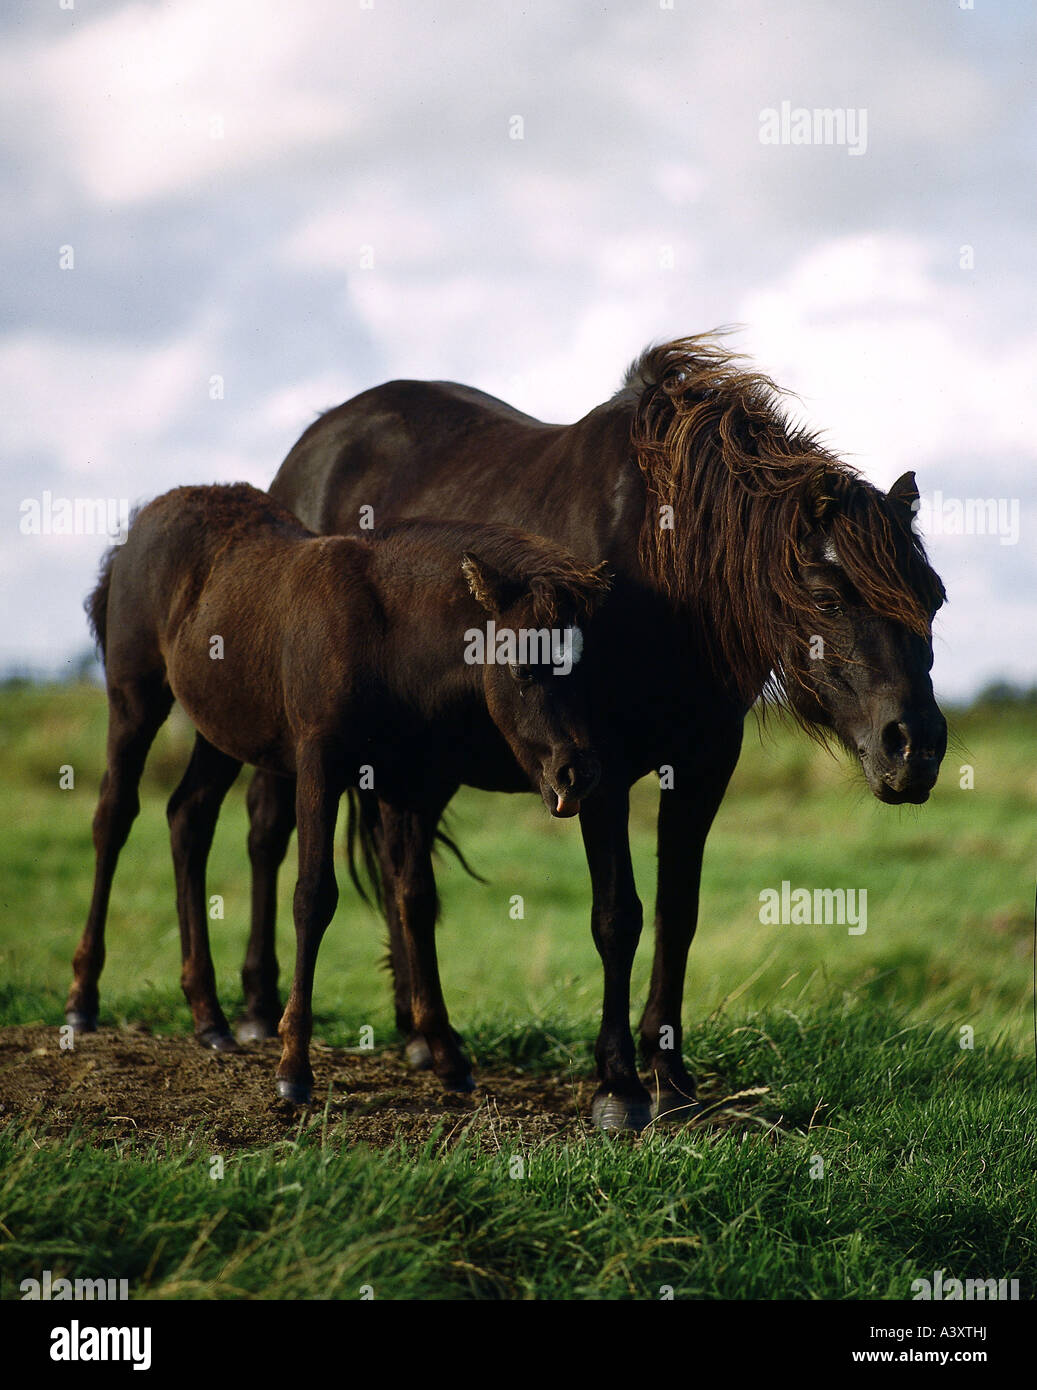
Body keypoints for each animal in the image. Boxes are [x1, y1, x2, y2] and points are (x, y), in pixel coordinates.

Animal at [66, 483, 609, 1102]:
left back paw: (209, 1018)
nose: (577, 774)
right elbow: (313, 895)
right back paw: (82, 1000)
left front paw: (447, 1055)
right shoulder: (319, 764)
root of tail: (140, 524)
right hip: (134, 698)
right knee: (114, 815)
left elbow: (415, 899)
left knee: (188, 816)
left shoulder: (405, 784)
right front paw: (292, 1069)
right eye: (522, 670)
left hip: (220, 728)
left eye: (589, 671)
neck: (386, 634)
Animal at [241, 333, 948, 1130]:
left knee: (402, 868)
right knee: (268, 832)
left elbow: (677, 914)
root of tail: (315, 441)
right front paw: (618, 1087)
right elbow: (617, 917)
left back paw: (423, 1038)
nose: (915, 749)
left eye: (933, 599)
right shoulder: (595, 768)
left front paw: (670, 1076)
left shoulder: (702, 766)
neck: (661, 570)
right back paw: (256, 1015)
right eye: (826, 598)